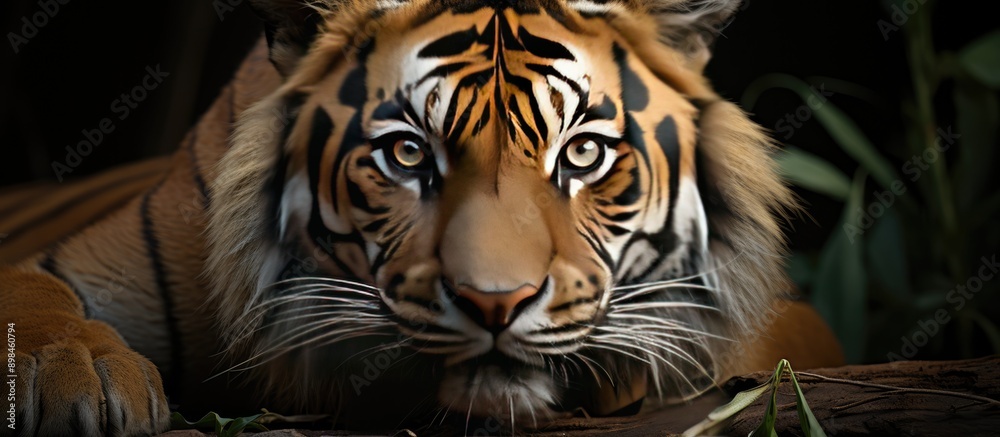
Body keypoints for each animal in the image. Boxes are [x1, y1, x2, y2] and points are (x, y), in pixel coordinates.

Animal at [0, 0, 844, 435]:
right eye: (407, 153)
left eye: (583, 153)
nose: (496, 303)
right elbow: (32, 295)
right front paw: (76, 373)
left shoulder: (793, 316)